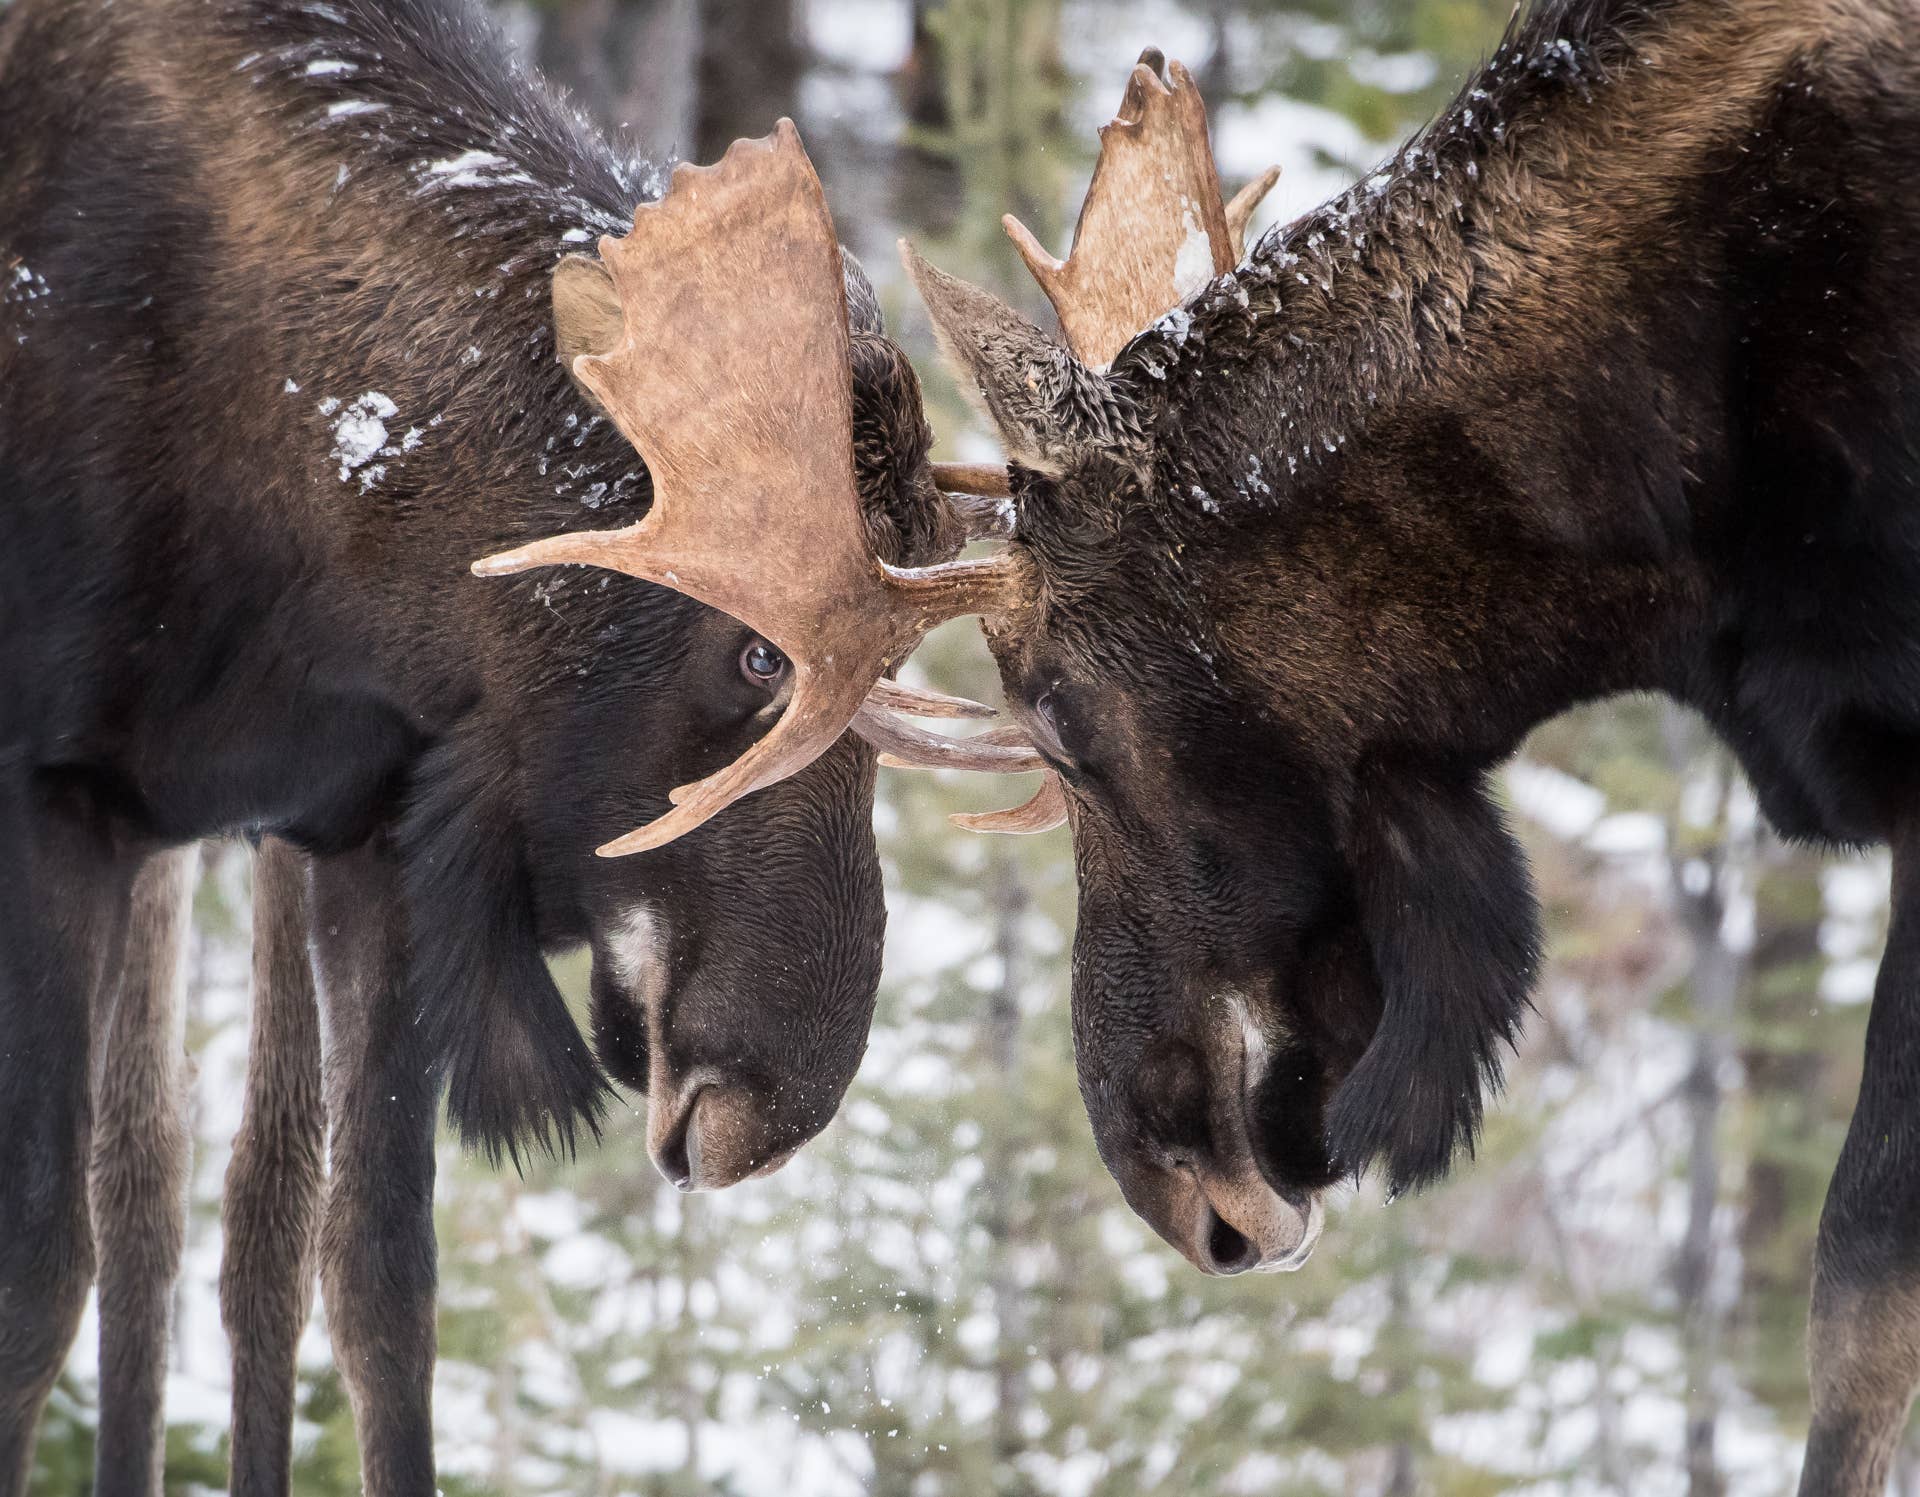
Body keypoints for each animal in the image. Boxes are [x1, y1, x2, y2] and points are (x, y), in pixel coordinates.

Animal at [0, 0, 1026, 1491]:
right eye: (756, 655)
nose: (763, 1115)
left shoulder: (360, 832)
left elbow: (377, 1283)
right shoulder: (54, 793)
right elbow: (37, 1272)